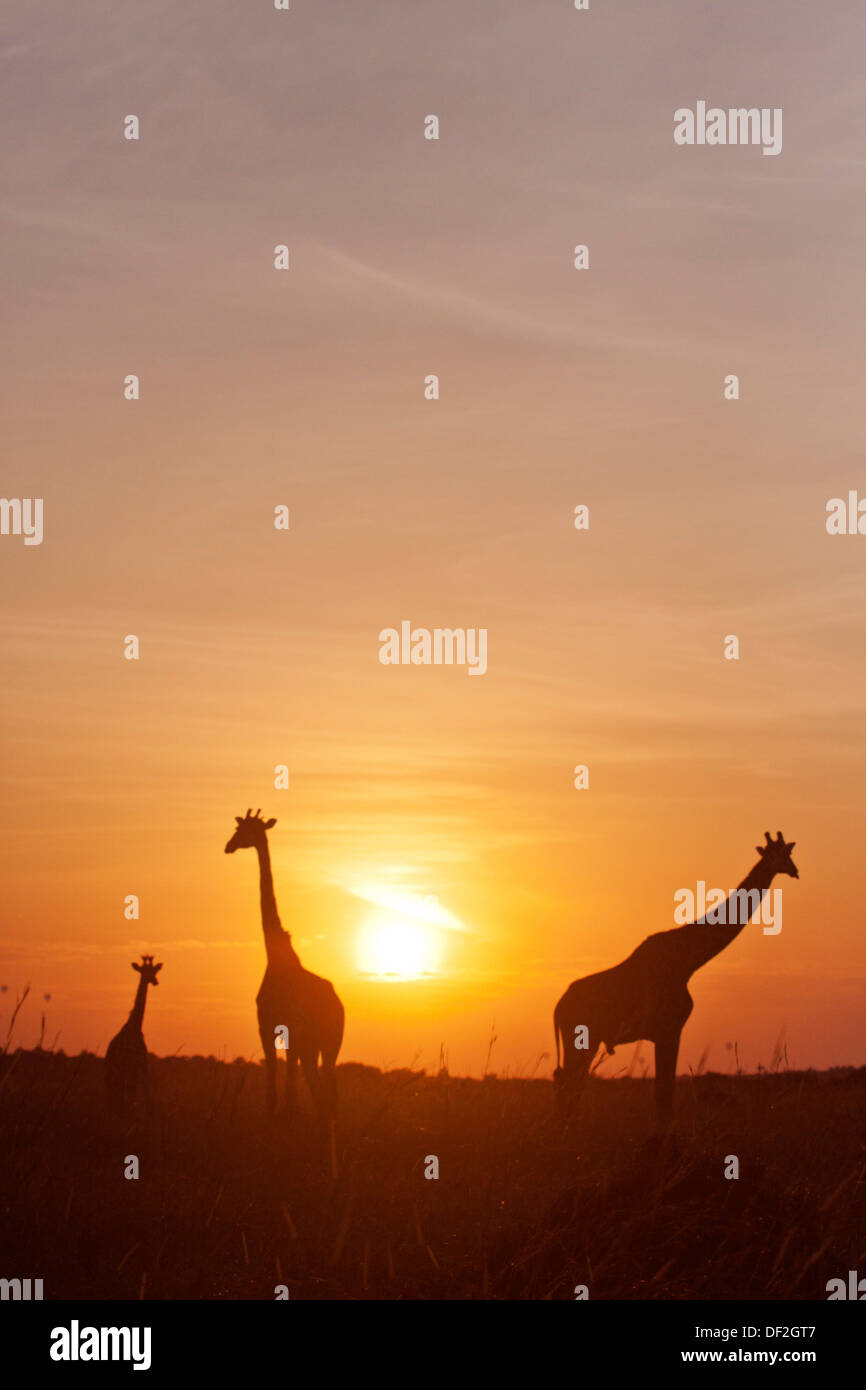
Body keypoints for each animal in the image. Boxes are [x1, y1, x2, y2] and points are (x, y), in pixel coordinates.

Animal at [104, 955, 163, 1113]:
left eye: (154, 970)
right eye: (143, 970)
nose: (155, 981)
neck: (135, 1026)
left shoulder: (138, 1066)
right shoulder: (138, 1064)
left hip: (118, 1071)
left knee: (116, 1095)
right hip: (118, 1070)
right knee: (117, 1094)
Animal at [224, 809, 344, 1123]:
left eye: (247, 831)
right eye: (238, 828)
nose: (228, 846)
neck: (275, 957)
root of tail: (339, 1004)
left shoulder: (280, 1026)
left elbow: (281, 1076)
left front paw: (283, 1112)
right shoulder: (273, 1027)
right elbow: (279, 1073)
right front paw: (281, 1112)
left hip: (324, 1040)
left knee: (325, 1089)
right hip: (322, 1044)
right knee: (324, 1090)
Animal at [553, 832, 798, 1127]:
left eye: (788, 853)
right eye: (775, 855)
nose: (794, 871)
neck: (687, 961)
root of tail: (557, 1008)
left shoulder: (665, 1032)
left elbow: (663, 1092)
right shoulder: (669, 1029)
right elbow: (664, 1093)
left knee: (567, 1083)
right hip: (580, 1041)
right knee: (568, 1084)